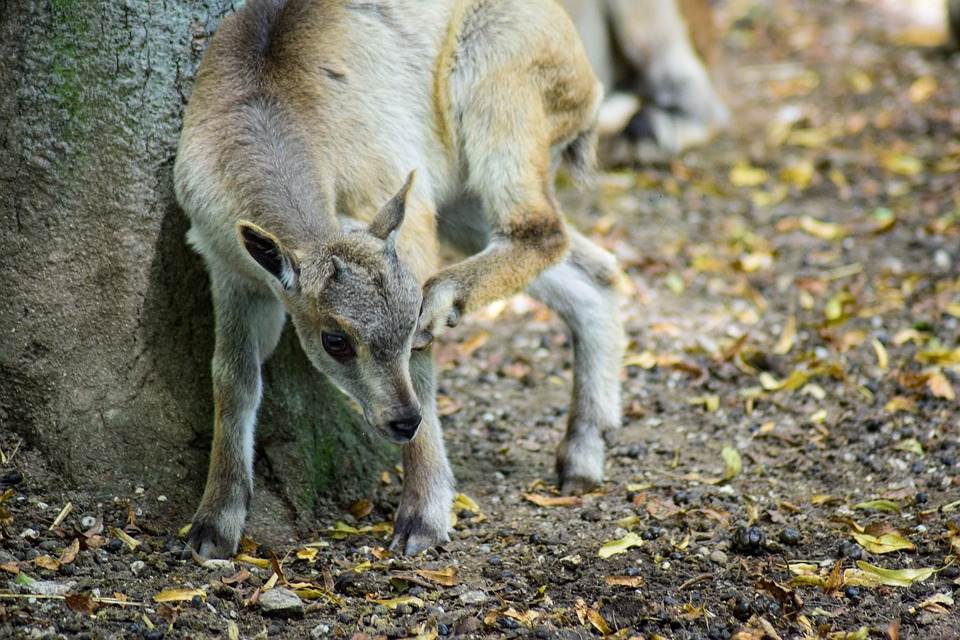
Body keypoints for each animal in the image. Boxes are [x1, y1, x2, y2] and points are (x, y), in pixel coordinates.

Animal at [173, 0, 625, 557]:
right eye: (335, 340)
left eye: (409, 324)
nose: (403, 421)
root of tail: (590, 88)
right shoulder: (230, 272)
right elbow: (233, 377)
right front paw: (213, 525)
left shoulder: (405, 220)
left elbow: (424, 360)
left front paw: (422, 519)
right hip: (464, 203)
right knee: (594, 271)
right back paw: (581, 456)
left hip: (500, 91)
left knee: (540, 227)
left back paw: (452, 297)